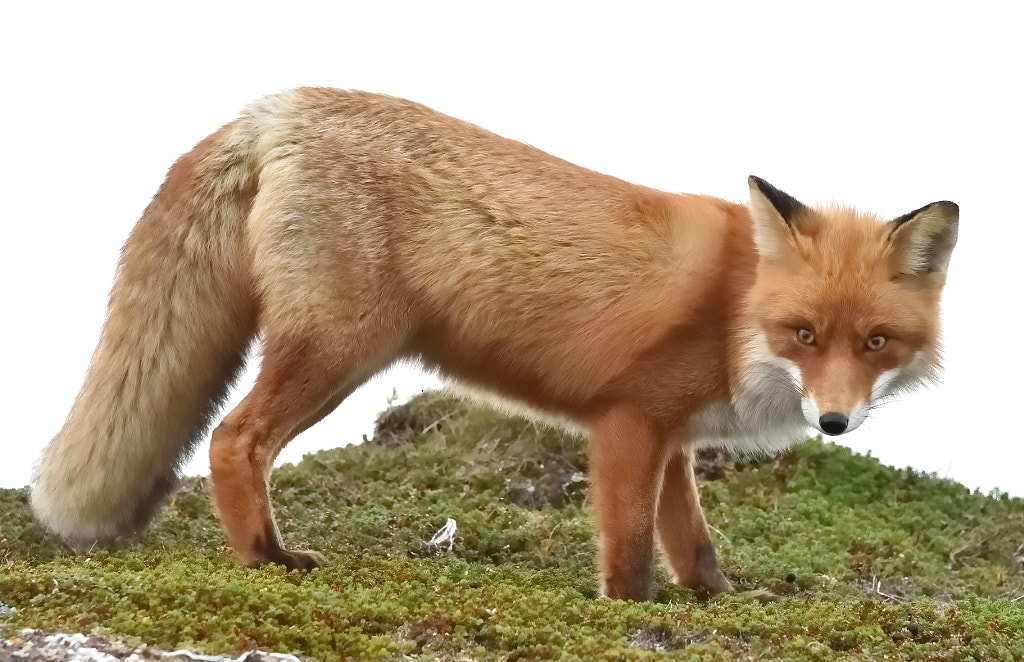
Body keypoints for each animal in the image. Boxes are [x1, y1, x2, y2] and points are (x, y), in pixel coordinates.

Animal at [32, 88, 958, 601]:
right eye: (804, 334)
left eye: (876, 341)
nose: (834, 422)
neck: (734, 307)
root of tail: (276, 106)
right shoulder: (628, 423)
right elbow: (629, 552)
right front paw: (632, 615)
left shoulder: (674, 439)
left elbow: (694, 547)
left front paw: (719, 602)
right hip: (340, 353)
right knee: (233, 440)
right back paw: (267, 560)